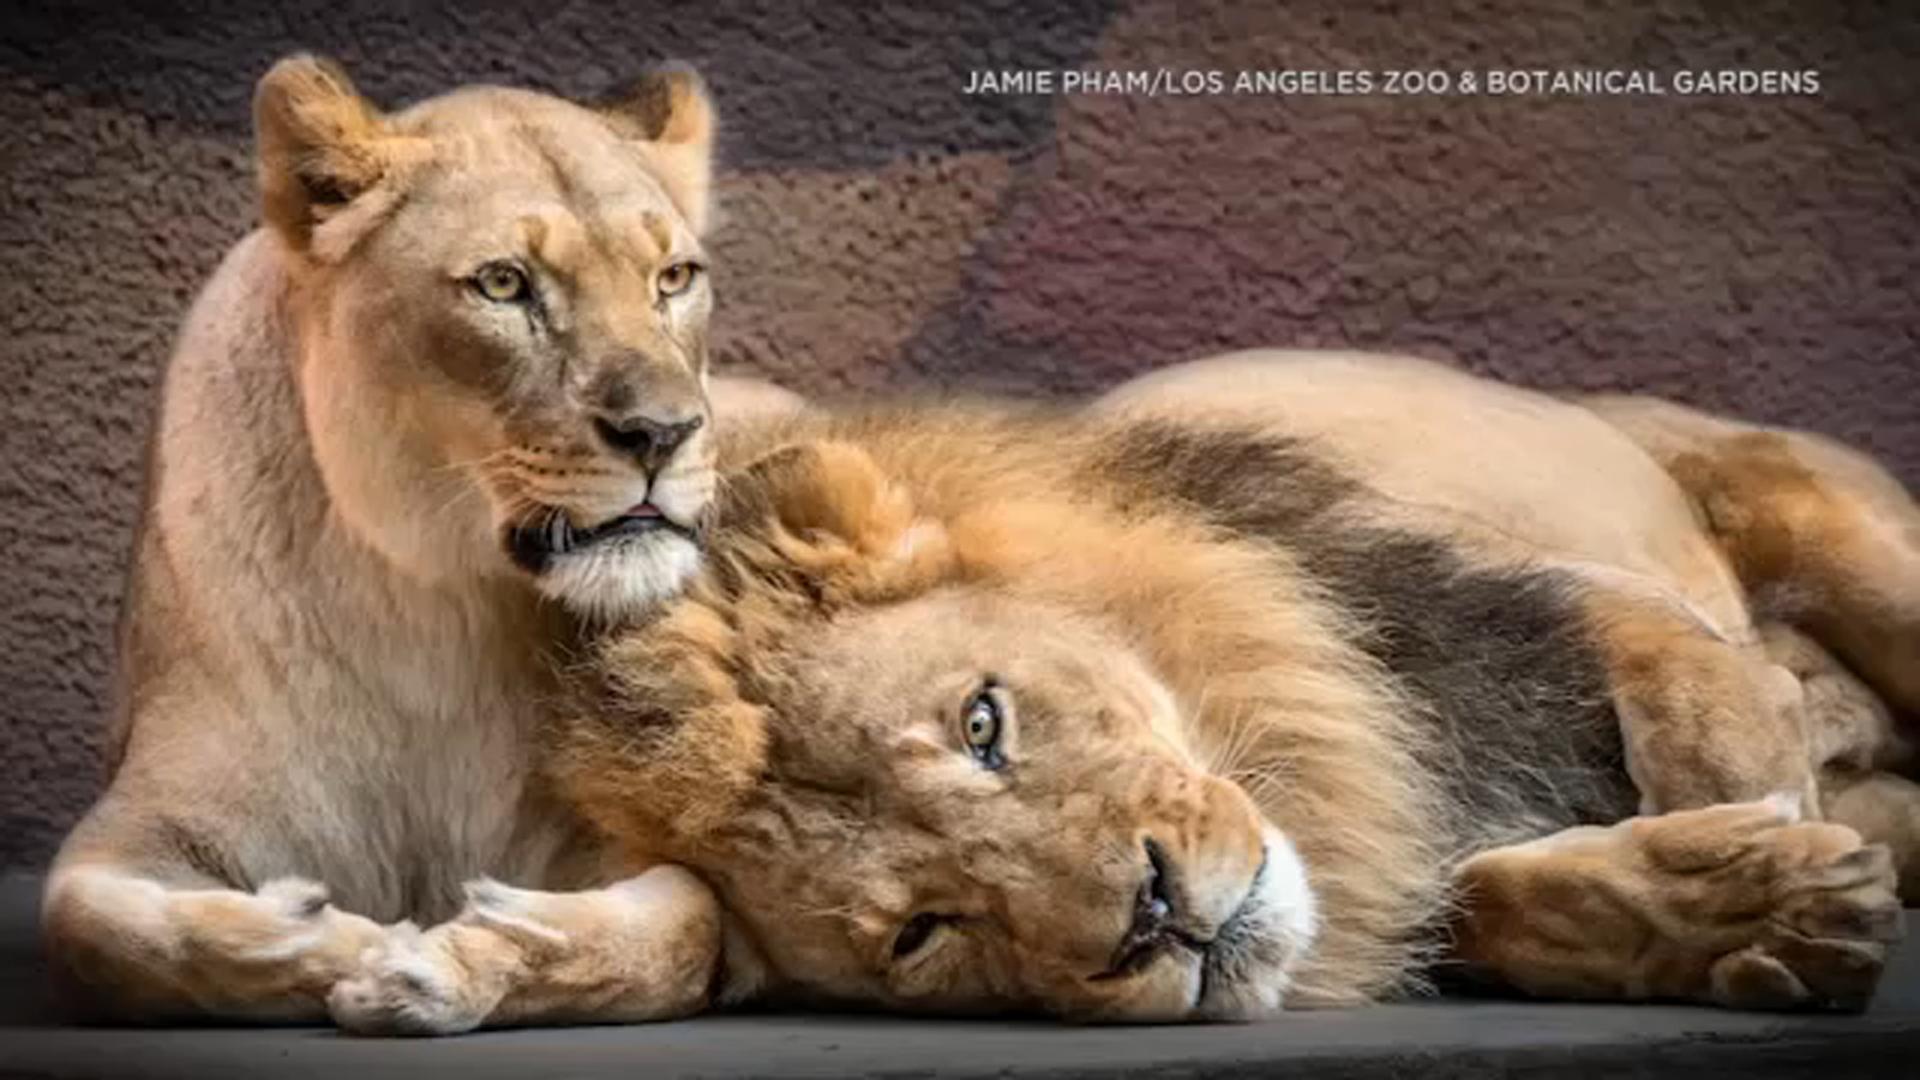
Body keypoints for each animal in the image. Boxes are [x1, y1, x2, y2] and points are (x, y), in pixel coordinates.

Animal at [40, 56, 802, 1022]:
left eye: (673, 277)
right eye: (504, 284)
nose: (664, 433)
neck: (434, 600)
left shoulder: (640, 843)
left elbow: (682, 928)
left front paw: (448, 960)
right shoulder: (140, 819)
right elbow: (94, 927)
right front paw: (331, 941)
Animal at [323, 351, 1913, 1031]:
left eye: (983, 723)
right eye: (923, 932)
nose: (1155, 916)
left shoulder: (1523, 621)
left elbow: (1715, 733)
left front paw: (1752, 861)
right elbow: (1493, 897)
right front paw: (1743, 913)